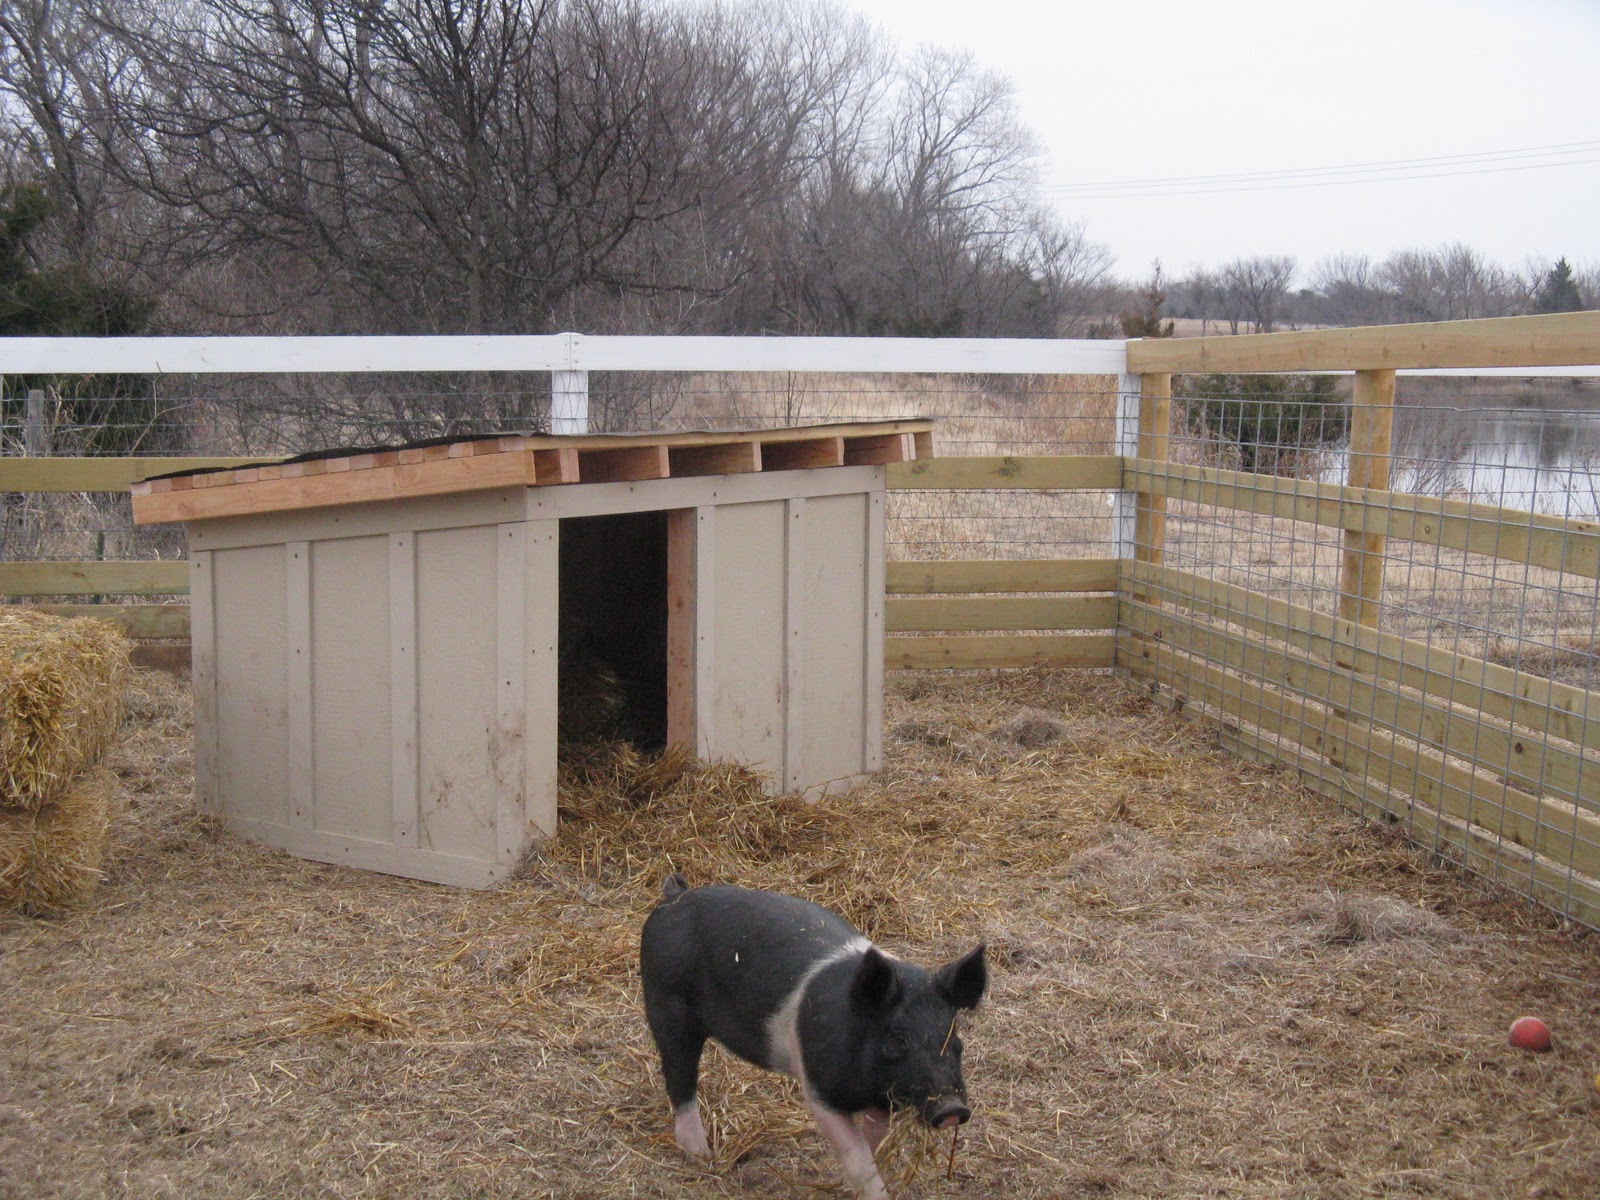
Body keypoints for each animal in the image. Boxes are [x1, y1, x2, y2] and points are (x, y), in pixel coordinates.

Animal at [639, 875, 987, 1199]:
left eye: (953, 1036)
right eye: (898, 1037)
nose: (952, 1108)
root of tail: (675, 896)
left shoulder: (880, 1100)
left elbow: (873, 1144)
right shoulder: (819, 1089)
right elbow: (857, 1154)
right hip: (666, 1006)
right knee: (679, 1080)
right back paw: (702, 1158)